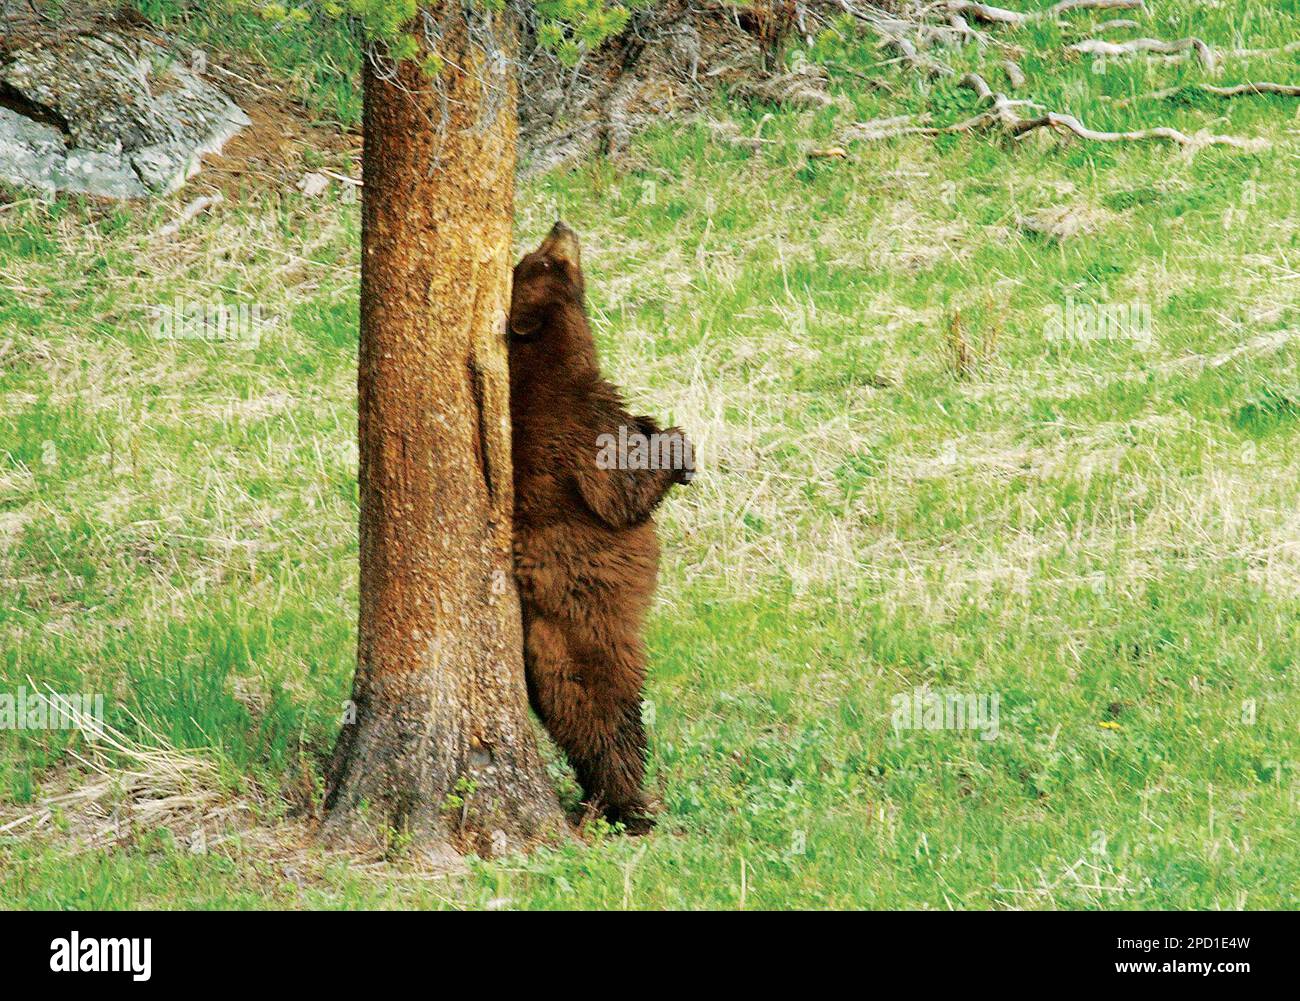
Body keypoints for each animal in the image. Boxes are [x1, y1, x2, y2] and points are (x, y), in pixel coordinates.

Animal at [508, 221, 693, 833]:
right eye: (542, 261)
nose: (560, 224)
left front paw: (655, 424)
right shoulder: (577, 428)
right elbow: (619, 492)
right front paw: (676, 445)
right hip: (596, 646)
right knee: (612, 722)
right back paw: (631, 804)